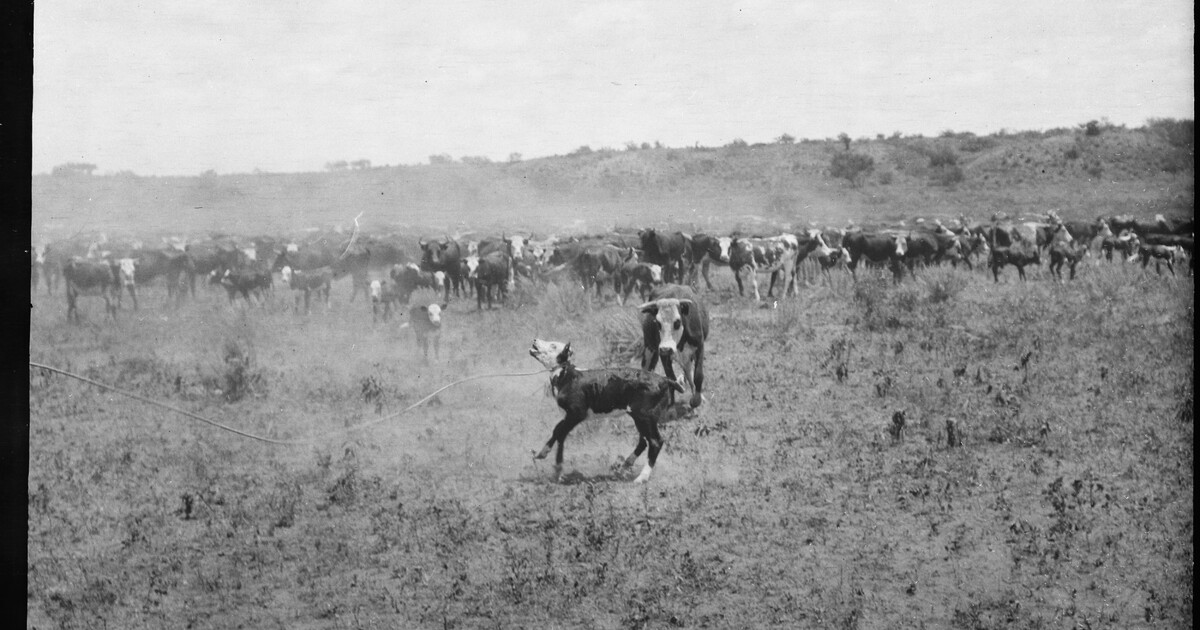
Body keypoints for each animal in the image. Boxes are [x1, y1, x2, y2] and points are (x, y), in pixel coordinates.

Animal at [529, 339, 683, 484]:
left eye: (553, 345)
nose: (535, 340)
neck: (567, 376)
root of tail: (664, 380)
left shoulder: (577, 413)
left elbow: (560, 432)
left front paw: (552, 464)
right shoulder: (568, 415)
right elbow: (559, 431)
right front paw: (551, 463)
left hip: (645, 416)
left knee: (656, 442)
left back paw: (641, 478)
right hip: (642, 417)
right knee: (644, 441)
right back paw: (624, 466)